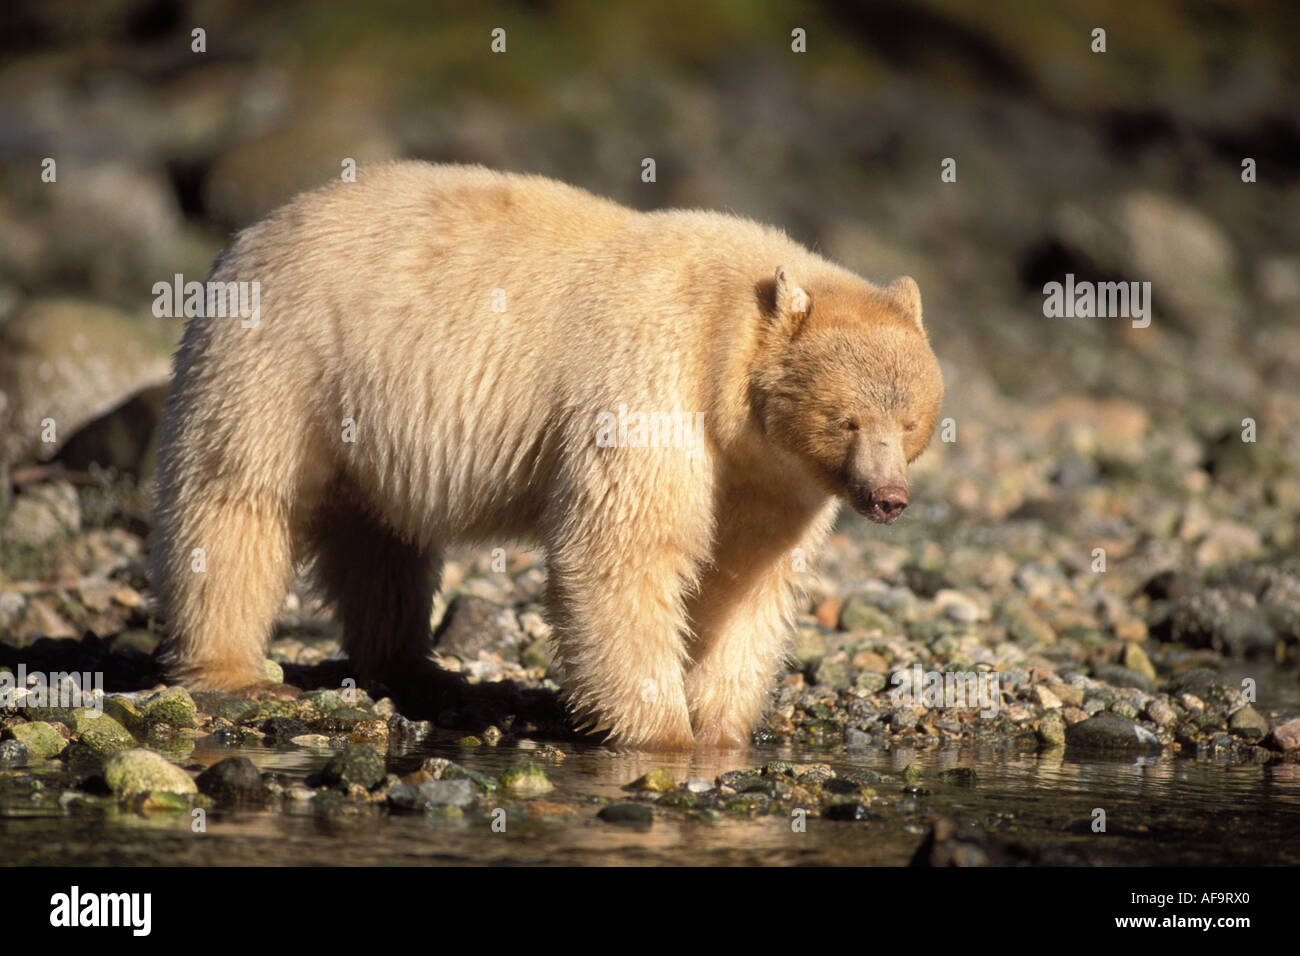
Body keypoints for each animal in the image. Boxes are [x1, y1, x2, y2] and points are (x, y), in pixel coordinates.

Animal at [151, 162, 943, 750]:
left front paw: (721, 726)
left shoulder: (768, 471)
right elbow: (625, 549)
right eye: (847, 419)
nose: (888, 498)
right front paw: (663, 734)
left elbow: (749, 576)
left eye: (909, 421)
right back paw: (237, 671)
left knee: (380, 541)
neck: (725, 333)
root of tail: (252, 231)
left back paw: (417, 669)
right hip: (283, 361)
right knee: (237, 501)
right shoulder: (651, 383)